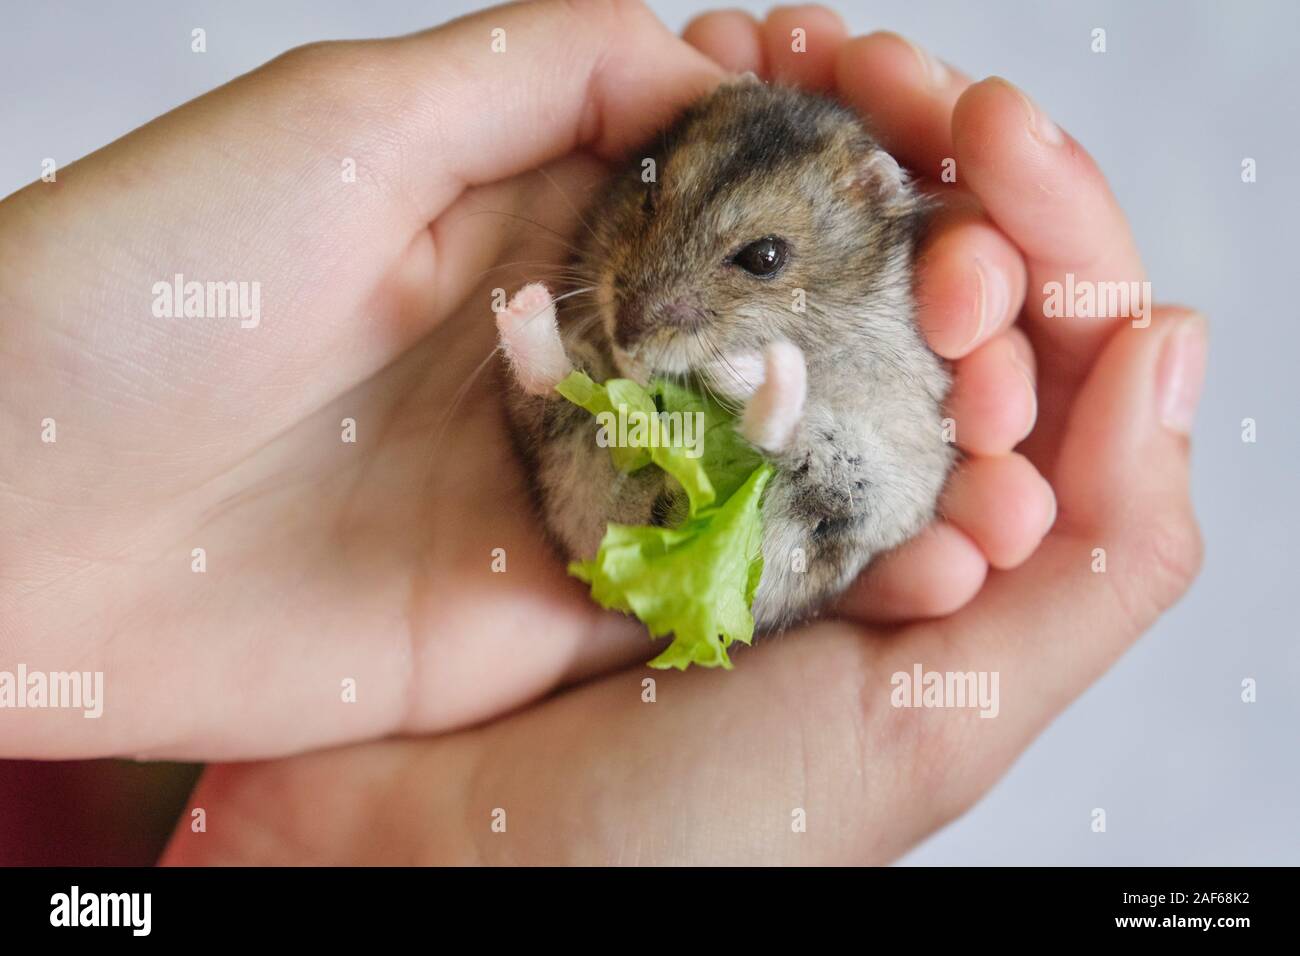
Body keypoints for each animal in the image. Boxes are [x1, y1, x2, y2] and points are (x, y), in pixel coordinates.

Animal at [495, 79, 954, 632]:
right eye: (649, 195)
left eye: (764, 256)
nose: (624, 336)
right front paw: (633, 368)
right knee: (552, 385)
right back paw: (524, 310)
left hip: (869, 485)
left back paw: (753, 370)